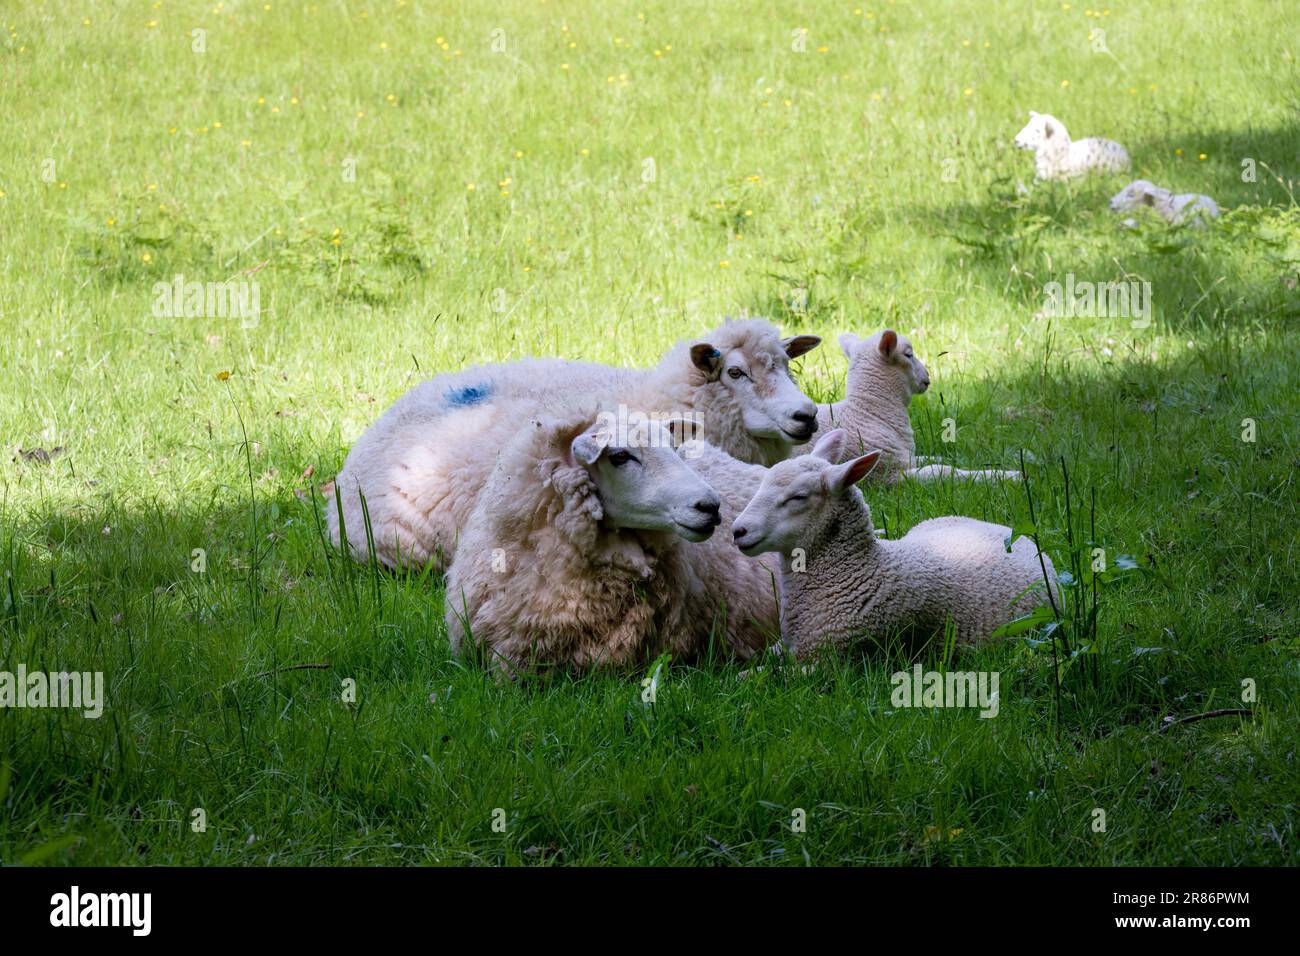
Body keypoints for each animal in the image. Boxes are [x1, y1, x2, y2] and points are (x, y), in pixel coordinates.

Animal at [731, 429, 1059, 660]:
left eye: (799, 497)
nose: (737, 530)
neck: (858, 570)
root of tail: (1012, 533)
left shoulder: (827, 660)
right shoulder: (785, 648)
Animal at [811, 329, 1020, 483]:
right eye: (909, 355)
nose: (927, 375)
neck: (869, 412)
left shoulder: (907, 460)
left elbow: (930, 459)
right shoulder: (889, 475)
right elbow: (943, 471)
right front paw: (1007, 476)